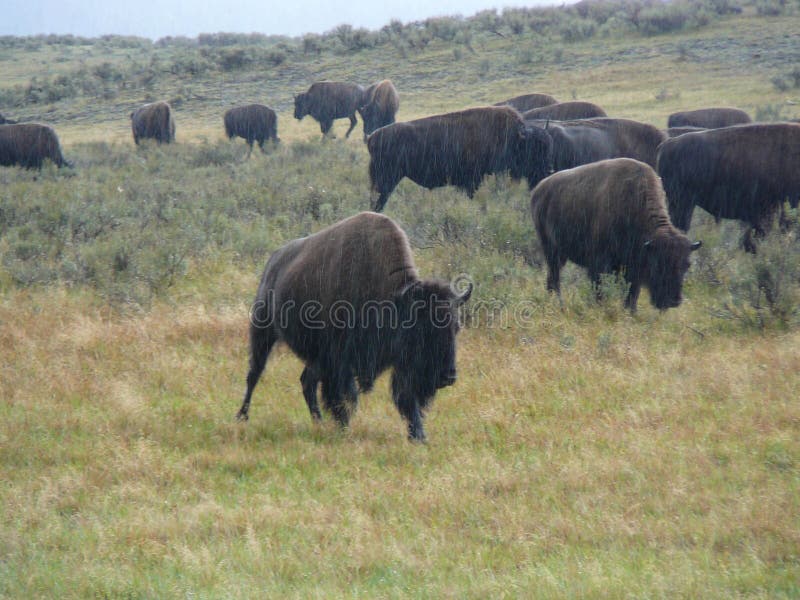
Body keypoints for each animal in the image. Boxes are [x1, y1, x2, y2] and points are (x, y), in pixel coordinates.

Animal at [237, 211, 472, 442]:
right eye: (423, 331)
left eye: (456, 327)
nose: (448, 376)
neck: (393, 300)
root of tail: (273, 263)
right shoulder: (340, 360)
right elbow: (346, 396)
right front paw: (344, 428)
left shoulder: (400, 363)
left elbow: (406, 397)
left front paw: (419, 436)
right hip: (263, 331)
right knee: (254, 373)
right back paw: (242, 416)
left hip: (314, 357)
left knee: (306, 382)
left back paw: (318, 422)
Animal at [367, 106, 553, 212]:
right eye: (535, 149)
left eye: (547, 146)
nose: (548, 171)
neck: (514, 137)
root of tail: (372, 137)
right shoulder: (472, 179)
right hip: (387, 178)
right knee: (379, 199)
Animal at [532, 158, 701, 311]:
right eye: (660, 263)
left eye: (687, 265)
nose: (674, 300)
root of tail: (539, 190)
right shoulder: (599, 264)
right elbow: (599, 289)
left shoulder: (633, 270)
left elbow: (632, 294)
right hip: (552, 251)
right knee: (554, 278)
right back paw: (558, 303)